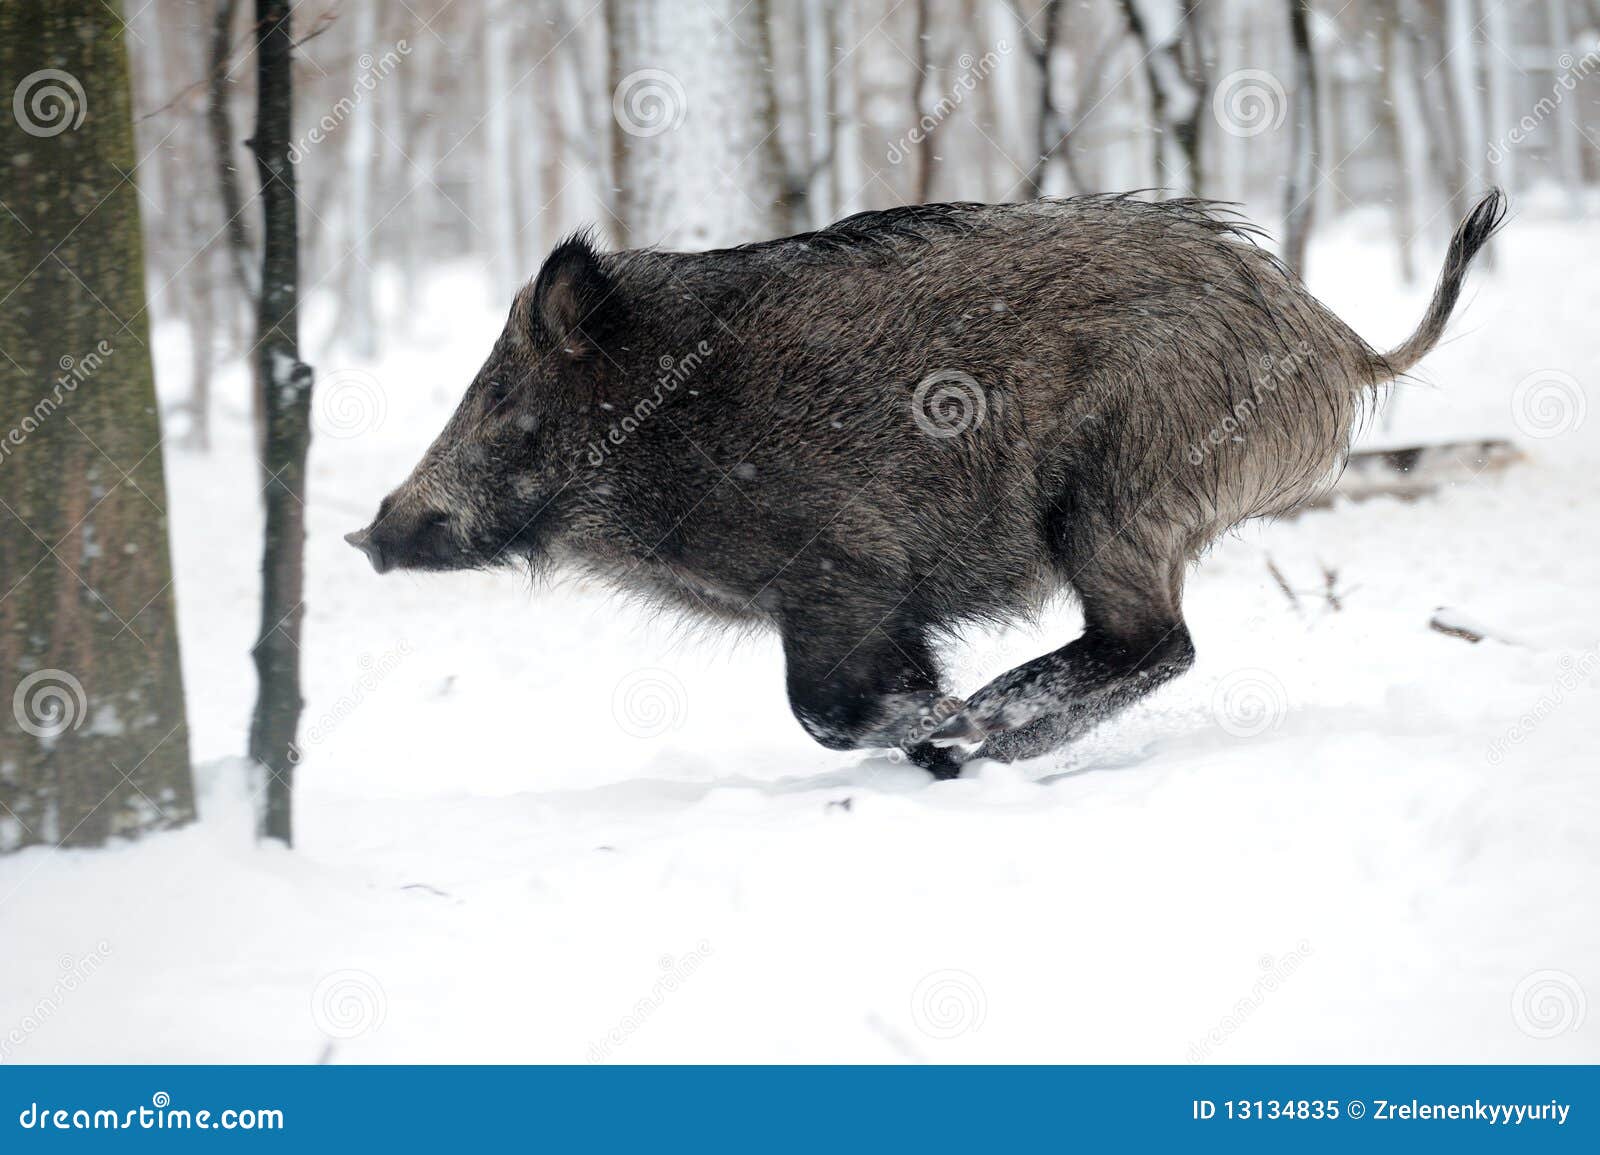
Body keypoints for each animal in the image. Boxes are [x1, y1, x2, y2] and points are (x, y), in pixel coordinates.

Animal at [347, 190, 1506, 777]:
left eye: (502, 397)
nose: (368, 535)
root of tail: (1342, 347)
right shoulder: (873, 608)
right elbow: (851, 703)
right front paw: (938, 752)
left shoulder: (842, 572)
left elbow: (822, 710)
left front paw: (948, 732)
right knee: (1150, 643)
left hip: (1119, 493)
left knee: (1157, 642)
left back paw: (992, 725)